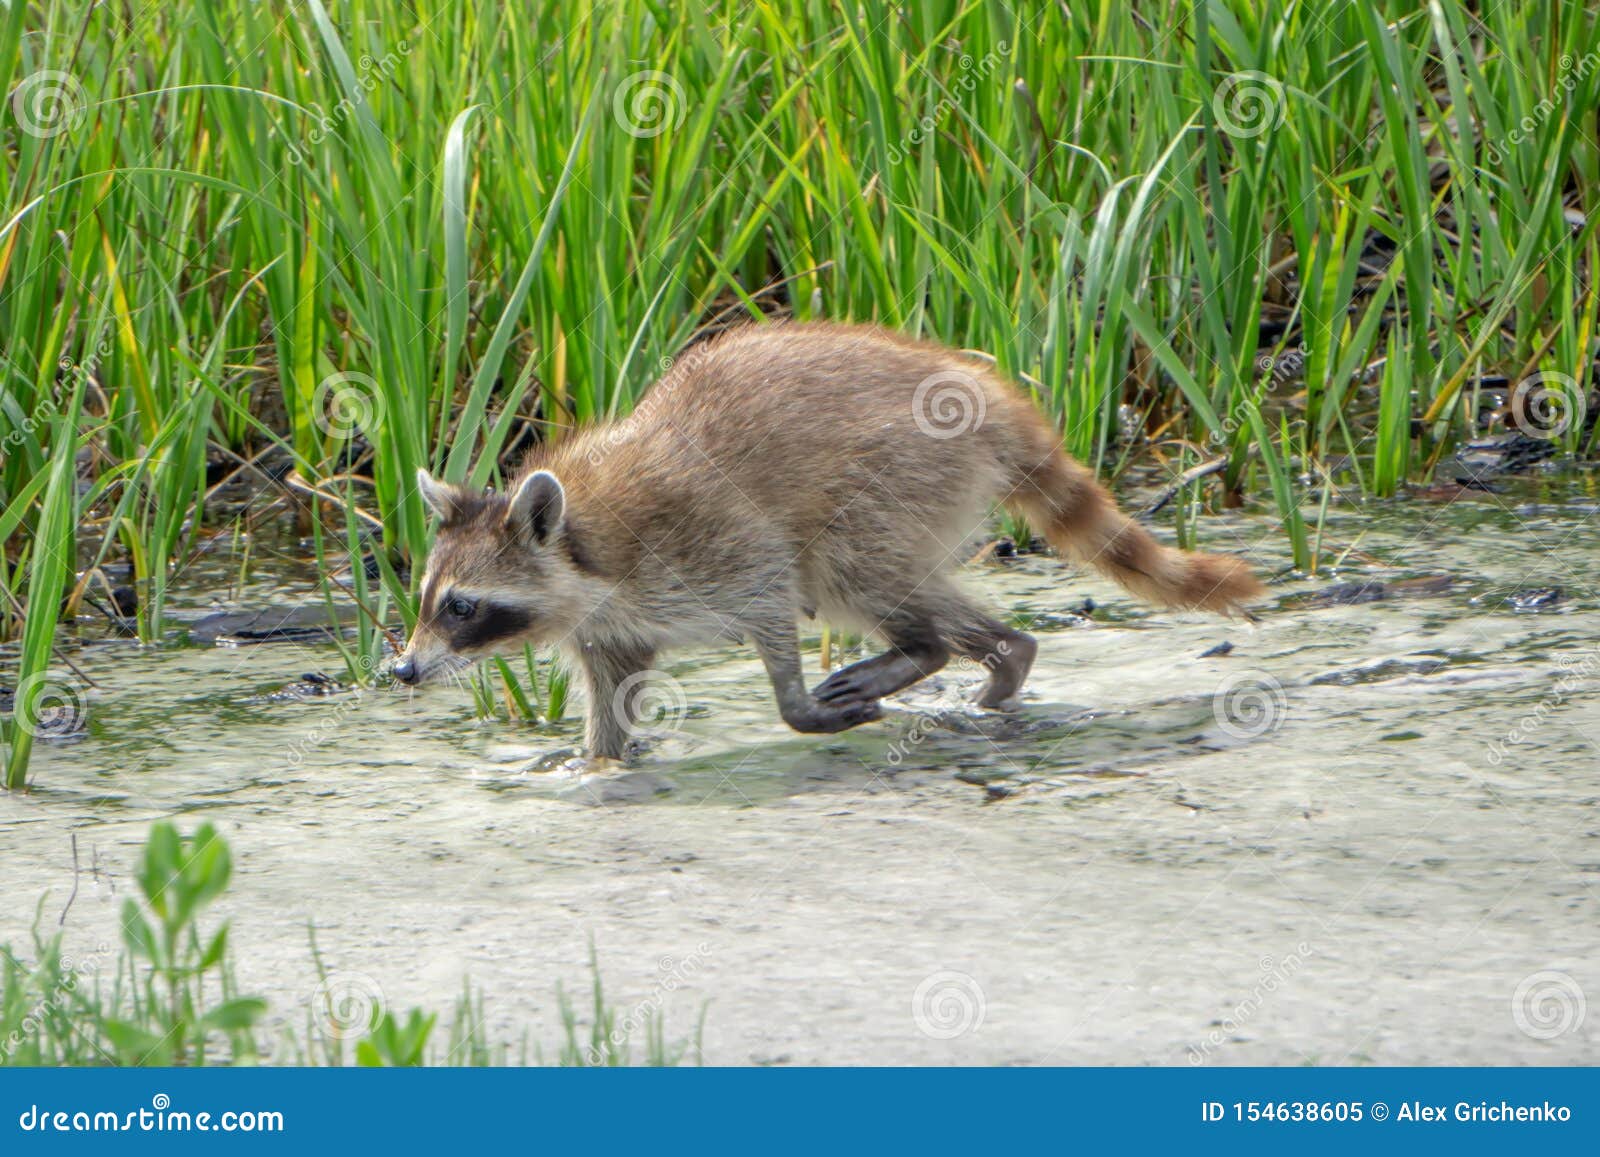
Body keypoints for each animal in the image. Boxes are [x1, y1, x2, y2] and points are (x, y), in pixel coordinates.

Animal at [392, 323, 1261, 758]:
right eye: (426, 599)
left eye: (462, 607)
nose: (401, 668)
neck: (583, 540)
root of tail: (988, 396)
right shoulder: (610, 623)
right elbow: (614, 695)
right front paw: (594, 762)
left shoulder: (709, 539)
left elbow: (771, 594)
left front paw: (794, 703)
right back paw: (993, 658)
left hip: (897, 477)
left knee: (851, 571)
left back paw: (948, 651)